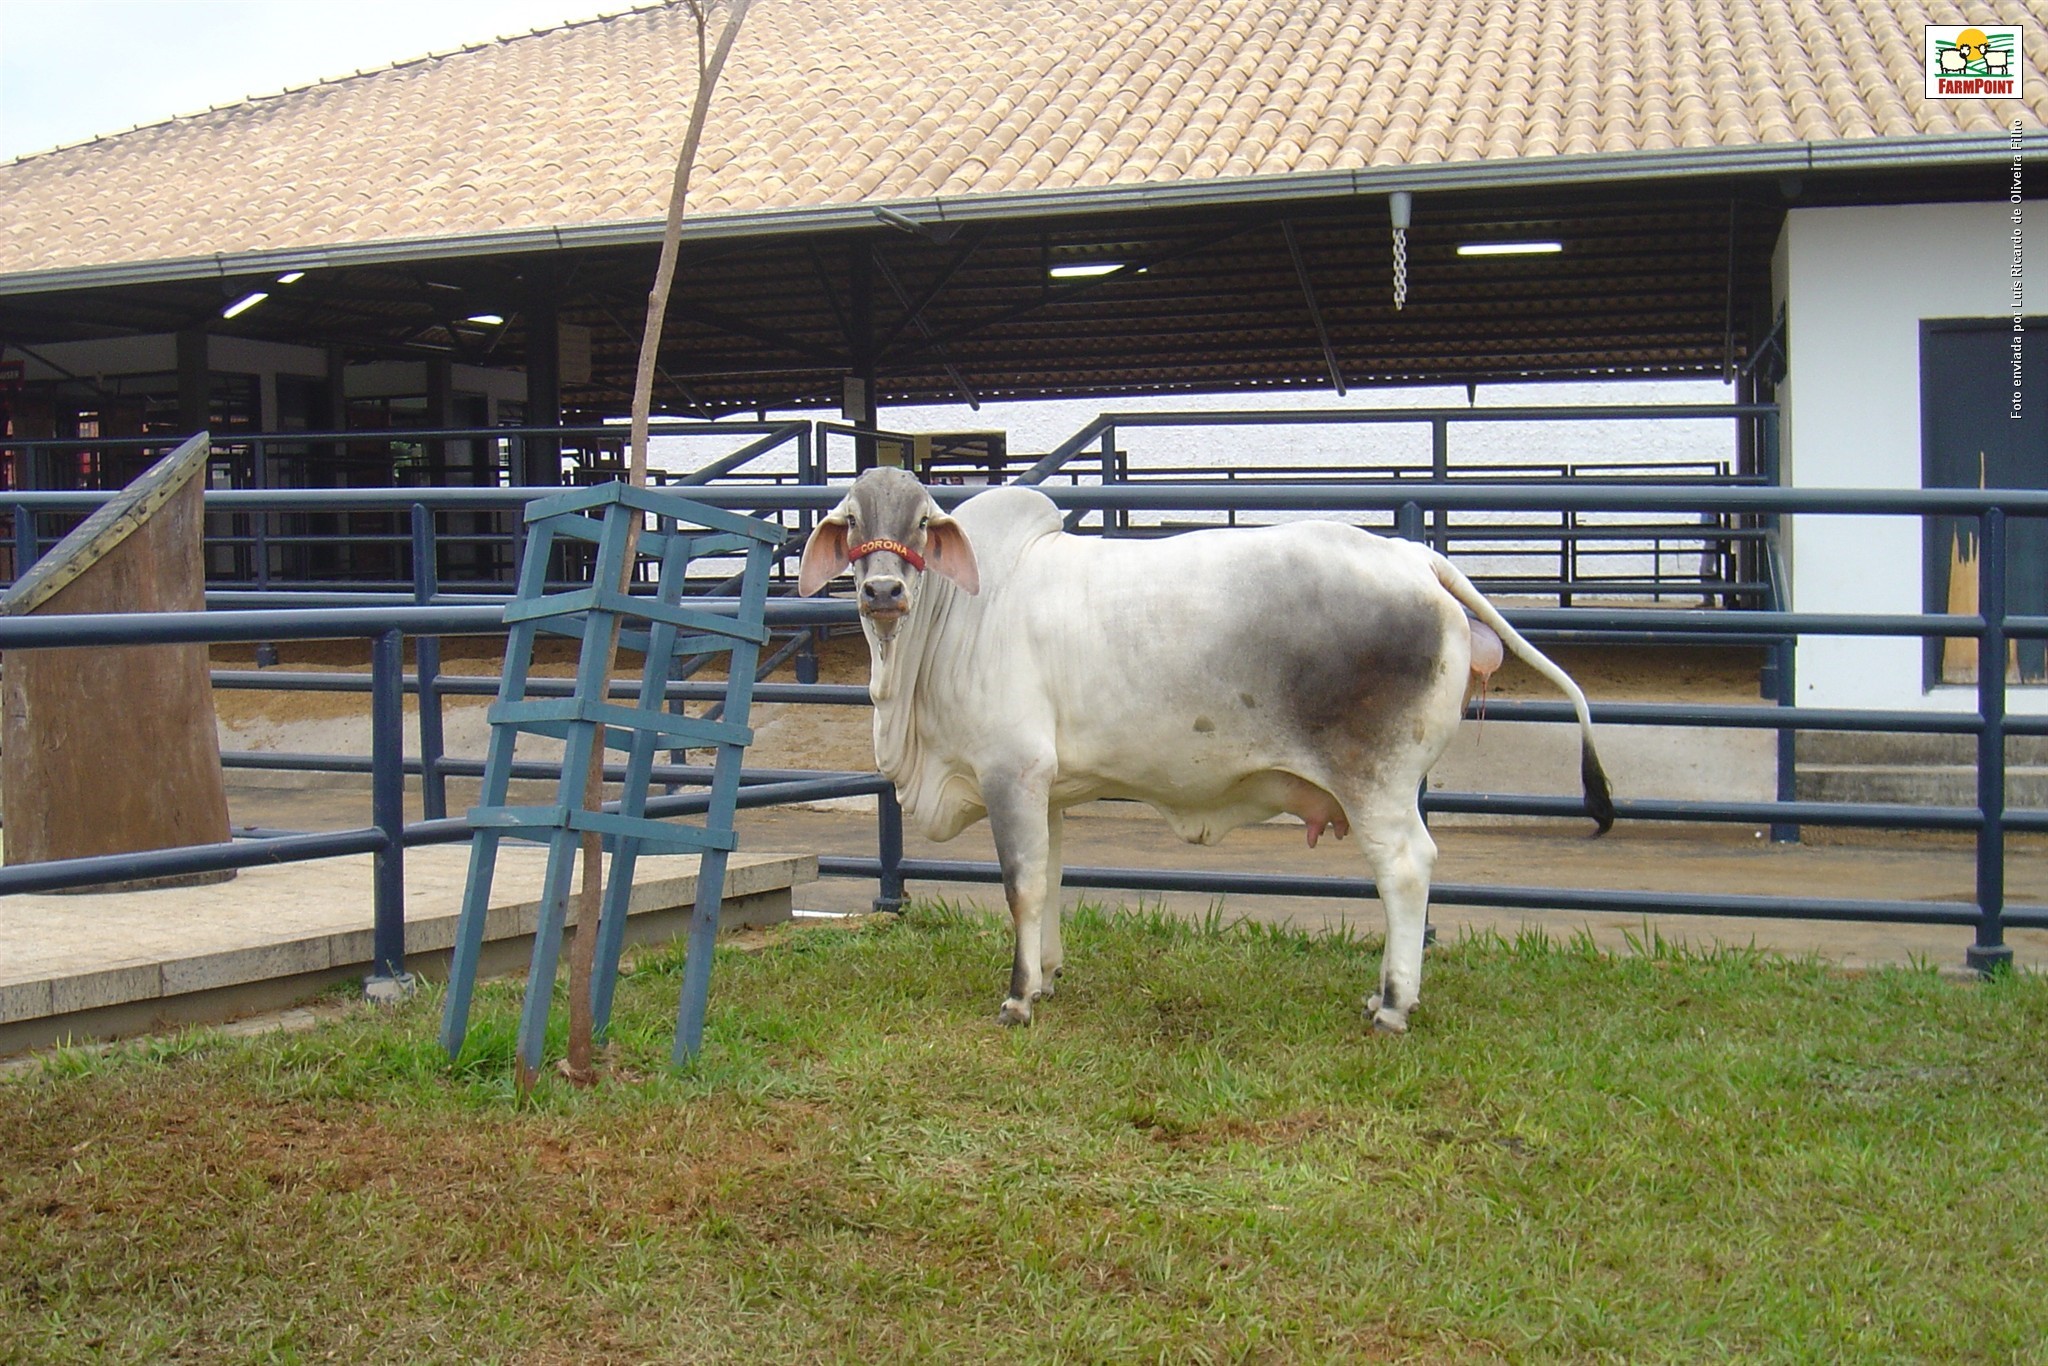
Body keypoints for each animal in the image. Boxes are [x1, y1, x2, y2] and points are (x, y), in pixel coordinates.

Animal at [798, 467, 1612, 1034]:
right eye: (851, 519)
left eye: (922, 524)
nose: (881, 591)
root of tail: (1413, 558)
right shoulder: (1046, 788)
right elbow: (1052, 879)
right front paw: (1049, 977)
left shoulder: (1010, 774)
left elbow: (1020, 887)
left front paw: (1017, 997)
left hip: (1375, 779)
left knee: (1405, 870)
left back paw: (1391, 1006)